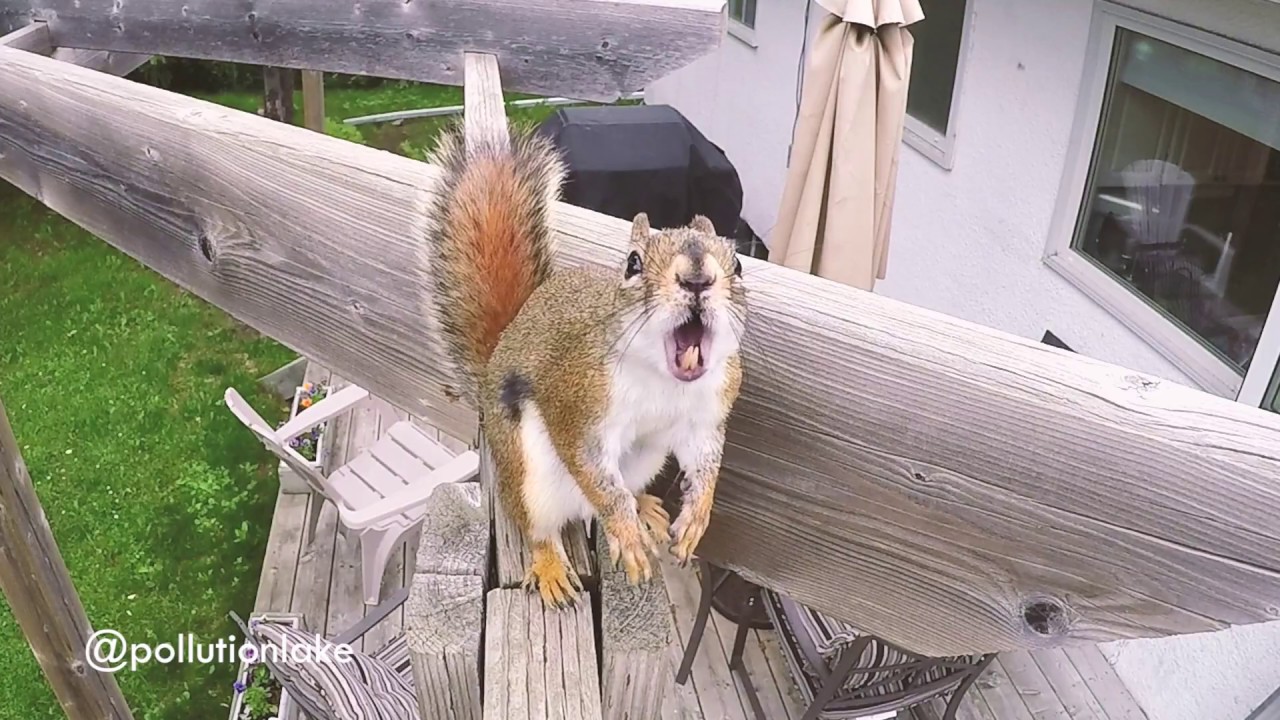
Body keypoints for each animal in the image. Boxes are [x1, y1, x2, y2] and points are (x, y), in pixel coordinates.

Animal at [418, 120, 748, 607]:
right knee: (538, 527)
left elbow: (705, 464)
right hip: (529, 477)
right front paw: (625, 532)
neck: (664, 378)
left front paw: (695, 518)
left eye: (738, 263)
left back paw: (643, 505)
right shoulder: (576, 406)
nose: (697, 279)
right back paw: (553, 566)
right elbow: (595, 475)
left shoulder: (706, 415)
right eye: (633, 264)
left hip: (645, 459)